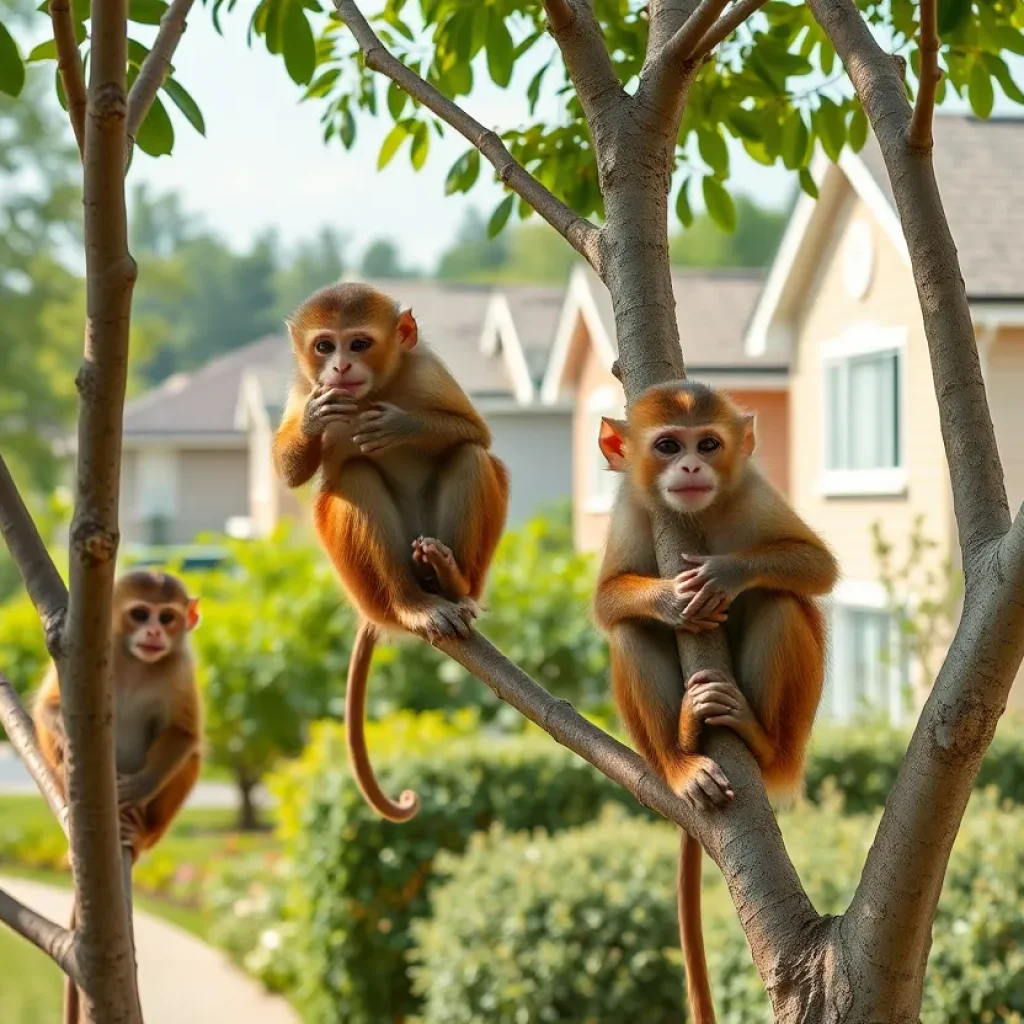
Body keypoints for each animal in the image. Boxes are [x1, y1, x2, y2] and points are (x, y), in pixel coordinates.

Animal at [33, 569, 203, 1024]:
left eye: (168, 617)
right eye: (141, 614)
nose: (154, 632)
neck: (135, 663)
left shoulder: (180, 668)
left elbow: (184, 736)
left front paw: (136, 787)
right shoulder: (74, 661)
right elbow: (48, 709)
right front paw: (70, 739)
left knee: (192, 757)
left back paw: (139, 832)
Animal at [272, 282, 509, 822]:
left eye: (358, 343)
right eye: (324, 346)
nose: (340, 367)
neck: (373, 393)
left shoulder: (427, 370)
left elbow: (476, 432)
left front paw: (402, 426)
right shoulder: (303, 387)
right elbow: (289, 472)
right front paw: (315, 421)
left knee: (469, 456)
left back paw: (450, 579)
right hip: (366, 584)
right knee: (355, 477)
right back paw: (412, 603)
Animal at [592, 380, 838, 1024]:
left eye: (708, 443)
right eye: (667, 445)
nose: (691, 467)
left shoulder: (753, 489)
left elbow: (818, 567)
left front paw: (724, 573)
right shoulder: (632, 509)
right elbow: (606, 603)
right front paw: (673, 601)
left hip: (790, 740)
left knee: (781, 601)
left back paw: (756, 737)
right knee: (629, 633)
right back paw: (681, 757)